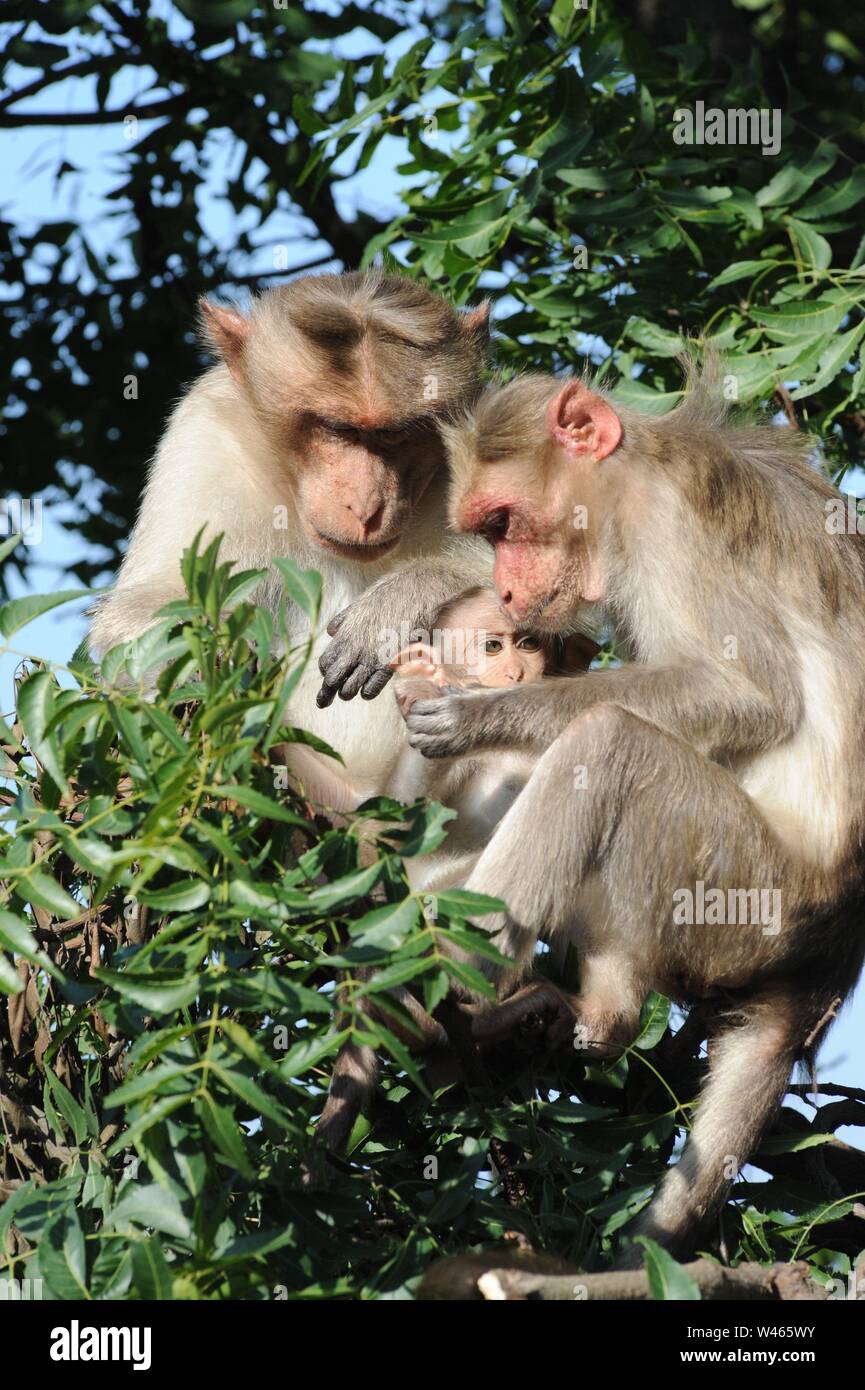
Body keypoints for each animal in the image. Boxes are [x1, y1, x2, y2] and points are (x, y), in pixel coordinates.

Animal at [89, 270, 492, 797]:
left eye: (394, 434)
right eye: (336, 429)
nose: (367, 506)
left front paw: (400, 603)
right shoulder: (202, 431)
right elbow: (142, 611)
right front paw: (215, 656)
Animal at [395, 361, 865, 1263]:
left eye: (503, 522)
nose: (504, 587)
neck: (635, 467)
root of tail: (823, 960)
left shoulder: (666, 524)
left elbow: (747, 697)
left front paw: (476, 713)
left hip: (739, 886)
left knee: (609, 744)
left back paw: (465, 994)